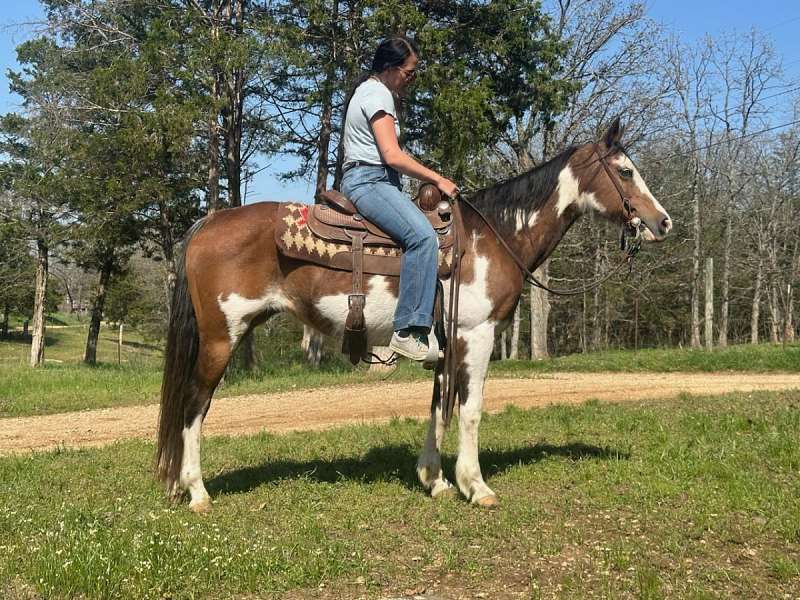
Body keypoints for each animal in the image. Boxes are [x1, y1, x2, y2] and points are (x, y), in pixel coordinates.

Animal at [156, 118, 672, 512]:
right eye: (625, 171)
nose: (663, 222)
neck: (492, 237)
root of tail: (209, 222)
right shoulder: (477, 336)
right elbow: (470, 409)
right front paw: (476, 486)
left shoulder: (447, 343)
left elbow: (438, 408)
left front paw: (435, 479)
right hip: (221, 337)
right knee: (195, 404)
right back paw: (197, 492)